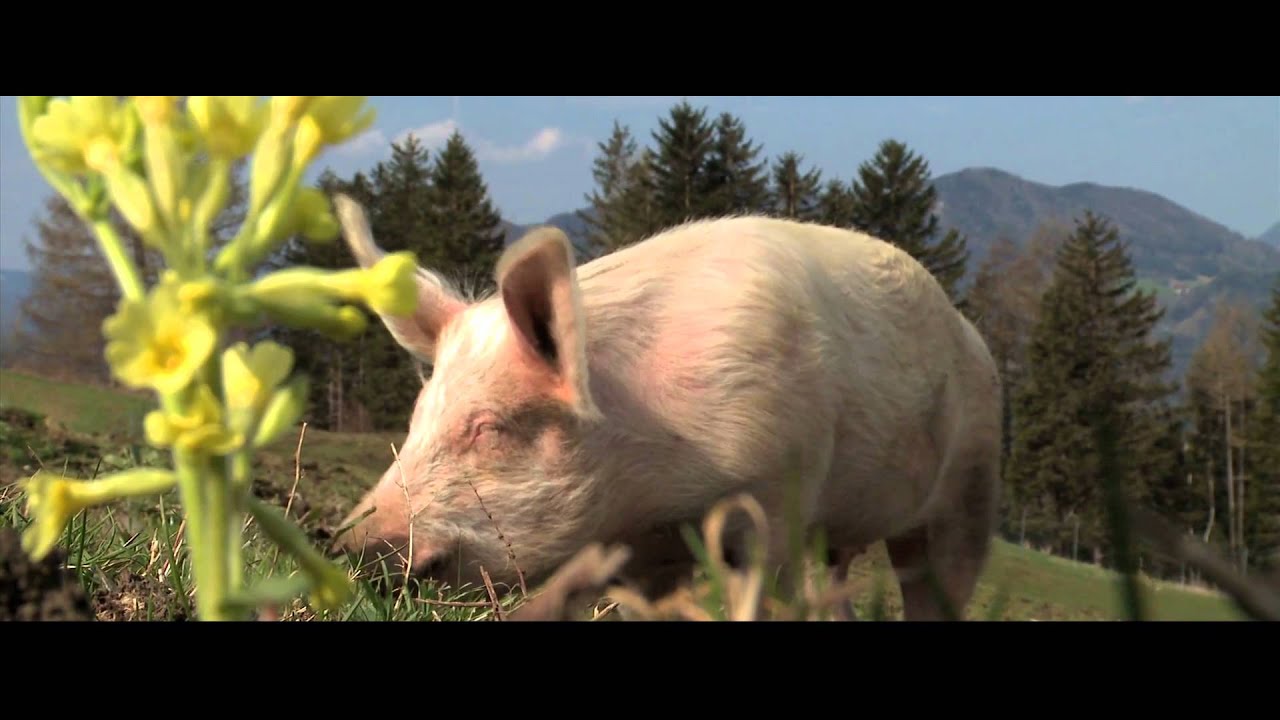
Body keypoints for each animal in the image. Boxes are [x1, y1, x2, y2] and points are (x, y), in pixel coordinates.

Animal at [328, 194, 1003, 621]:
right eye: (417, 419)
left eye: (489, 426)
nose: (345, 545)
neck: (658, 483)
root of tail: (974, 339)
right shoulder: (642, 552)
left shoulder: (779, 496)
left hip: (969, 492)